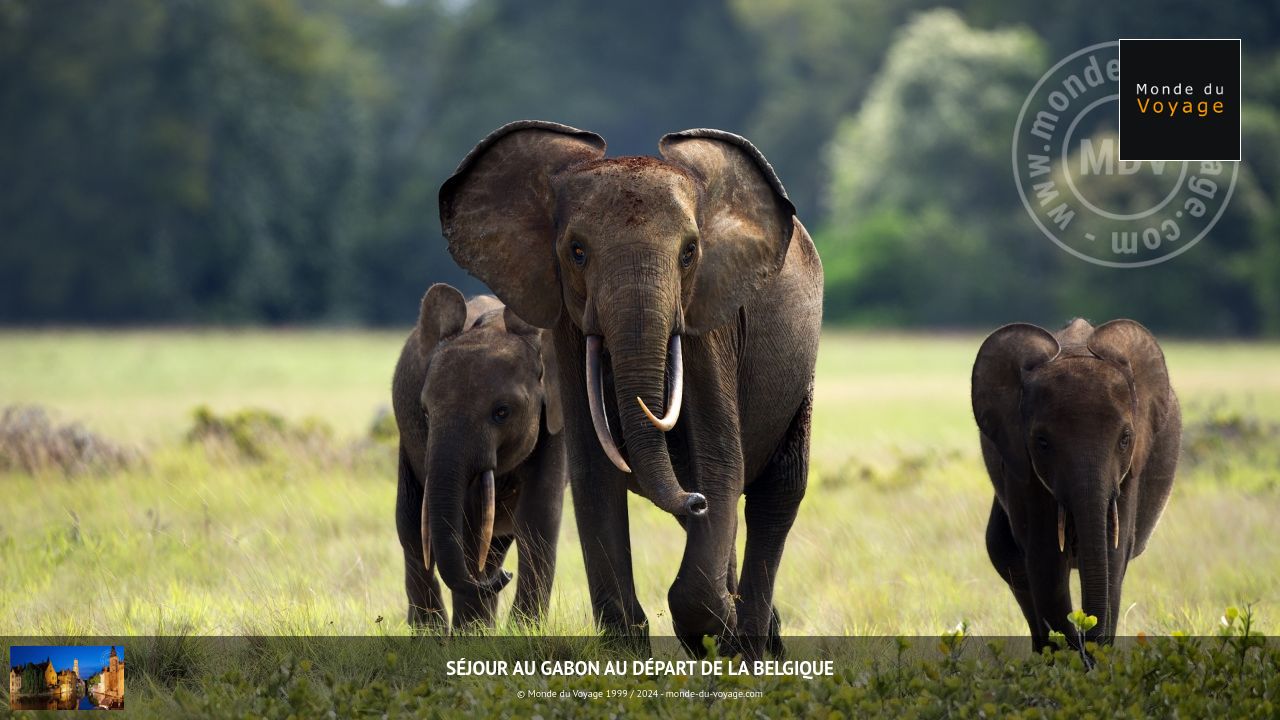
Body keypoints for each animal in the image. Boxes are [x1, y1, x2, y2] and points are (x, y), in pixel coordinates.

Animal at [391, 281, 568, 627]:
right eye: (426, 413)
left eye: (502, 412)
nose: (504, 577)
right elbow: (467, 520)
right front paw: (472, 632)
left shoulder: (559, 419)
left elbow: (538, 513)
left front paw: (524, 629)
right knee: (410, 521)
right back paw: (431, 629)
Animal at [437, 120, 819, 661]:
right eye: (577, 252)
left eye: (689, 253)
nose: (695, 501)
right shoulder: (566, 324)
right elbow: (594, 470)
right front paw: (631, 653)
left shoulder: (709, 320)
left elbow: (719, 459)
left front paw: (713, 633)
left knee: (777, 493)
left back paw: (752, 645)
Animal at [972, 316, 1182, 648]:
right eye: (1042, 443)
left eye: (1125, 439)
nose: (1087, 636)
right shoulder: (1023, 468)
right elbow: (1045, 560)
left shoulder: (1130, 473)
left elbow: (1112, 556)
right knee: (1008, 560)